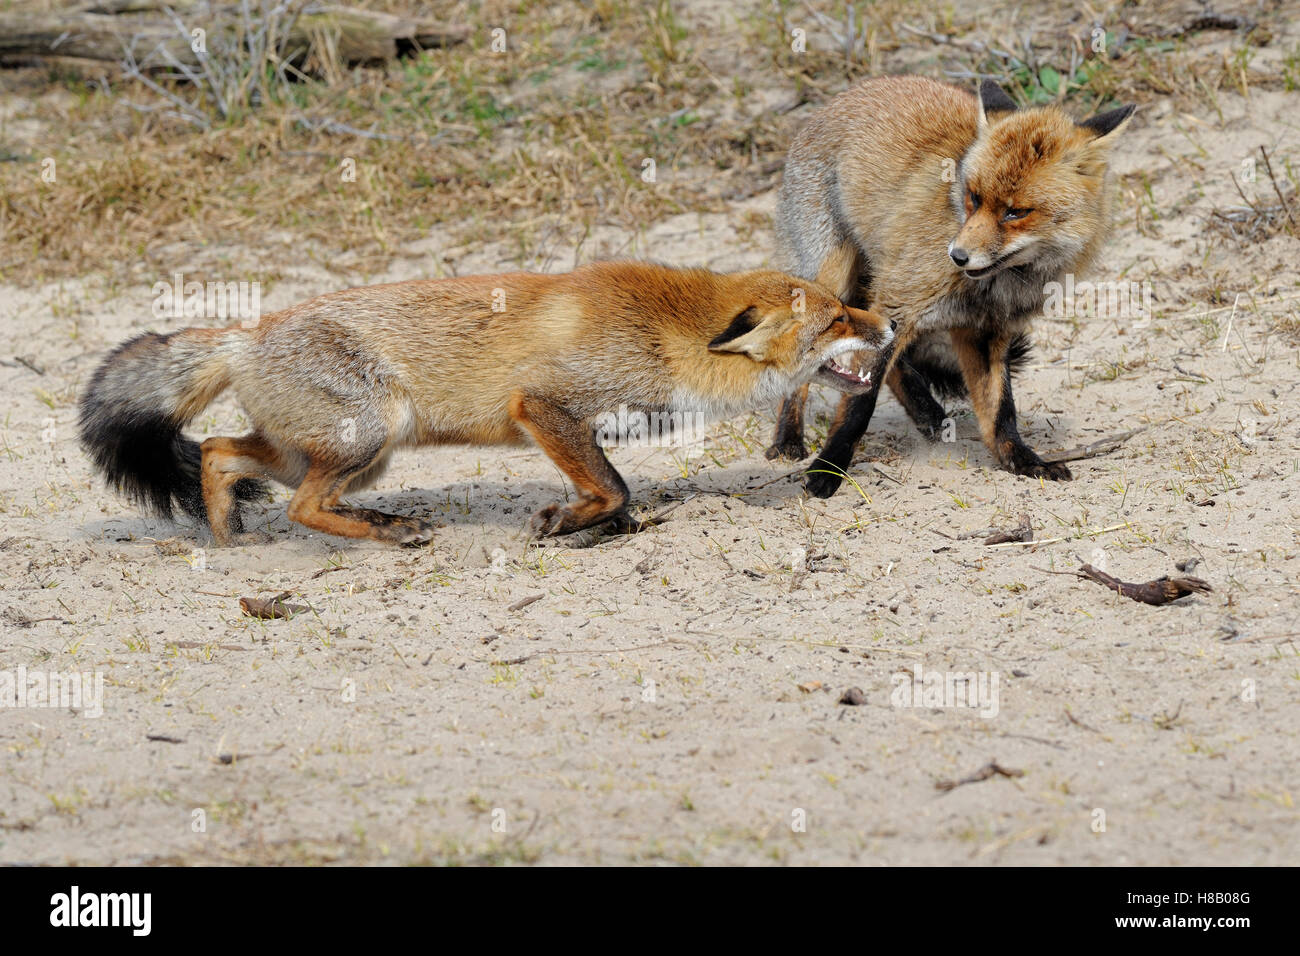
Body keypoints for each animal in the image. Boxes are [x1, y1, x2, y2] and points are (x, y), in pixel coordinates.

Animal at [78, 261, 892, 546]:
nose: (888, 324)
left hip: (335, 452)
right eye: (837, 321)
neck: (665, 333)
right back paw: (385, 535)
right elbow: (612, 485)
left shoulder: (576, 423)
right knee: (302, 505)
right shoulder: (546, 407)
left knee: (219, 454)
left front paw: (600, 529)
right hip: (368, 434)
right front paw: (568, 523)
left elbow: (616, 492)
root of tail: (248, 333)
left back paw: (228, 535)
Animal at [764, 74, 1135, 497]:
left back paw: (927, 413)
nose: (956, 255)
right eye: (973, 197)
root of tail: (846, 94)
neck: (994, 286)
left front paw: (1024, 461)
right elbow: (859, 405)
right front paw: (827, 469)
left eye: (1015, 212)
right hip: (833, 275)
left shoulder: (985, 330)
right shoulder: (899, 302)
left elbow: (1001, 411)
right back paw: (788, 438)